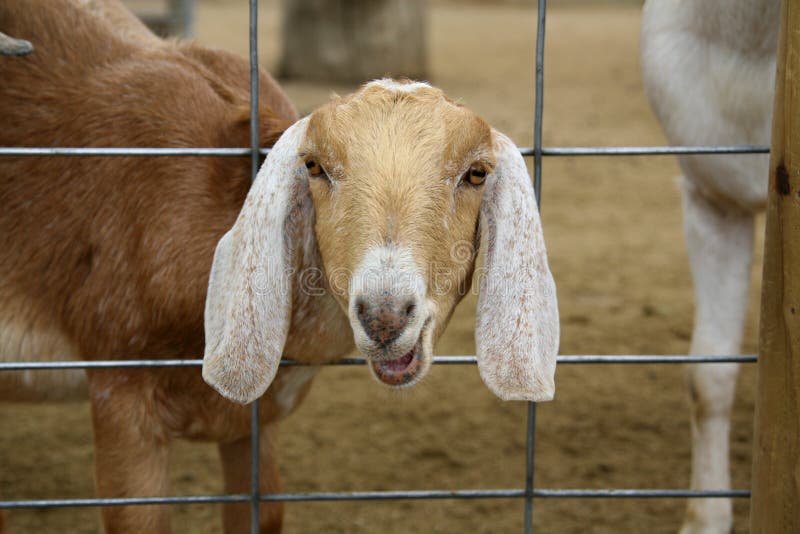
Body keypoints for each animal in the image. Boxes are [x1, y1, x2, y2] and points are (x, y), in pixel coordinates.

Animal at [1, 1, 560, 532]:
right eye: (314, 166)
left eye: (476, 173)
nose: (385, 317)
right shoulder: (120, 392)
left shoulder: (257, 420)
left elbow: (264, 513)